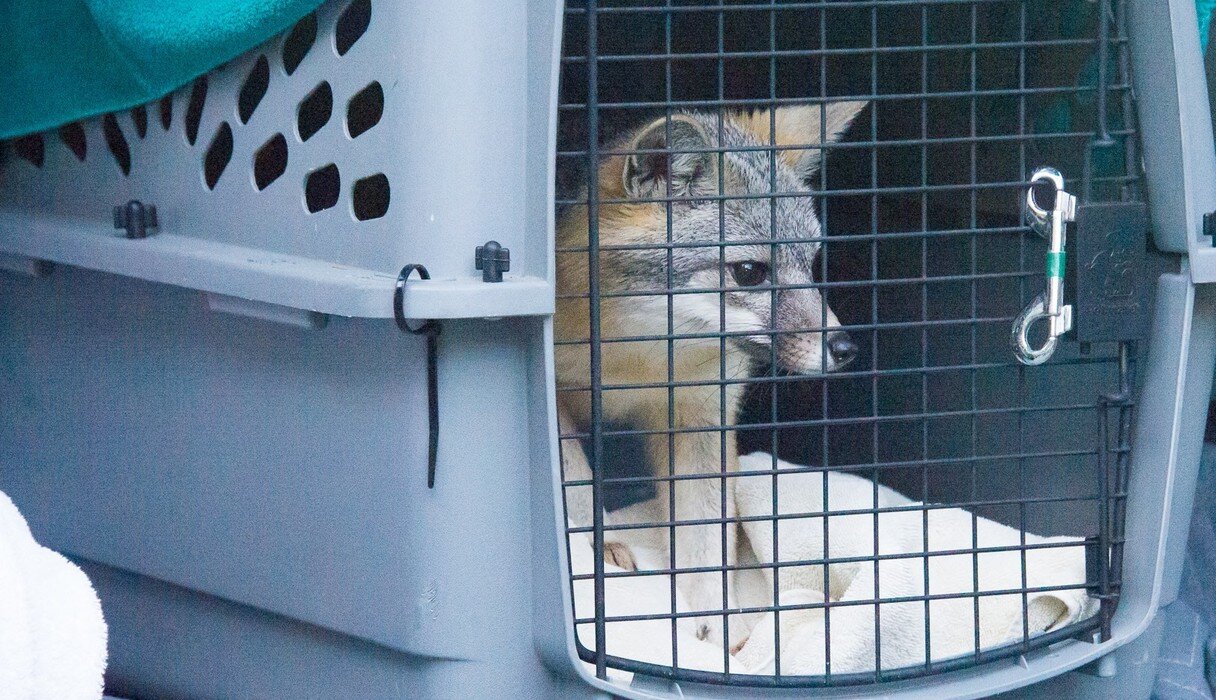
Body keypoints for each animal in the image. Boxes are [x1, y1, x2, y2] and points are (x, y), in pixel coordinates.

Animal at [555, 101, 867, 648]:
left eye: (812, 264)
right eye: (749, 272)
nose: (845, 348)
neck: (634, 361)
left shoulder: (701, 418)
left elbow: (707, 537)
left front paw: (720, 630)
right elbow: (574, 480)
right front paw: (599, 546)